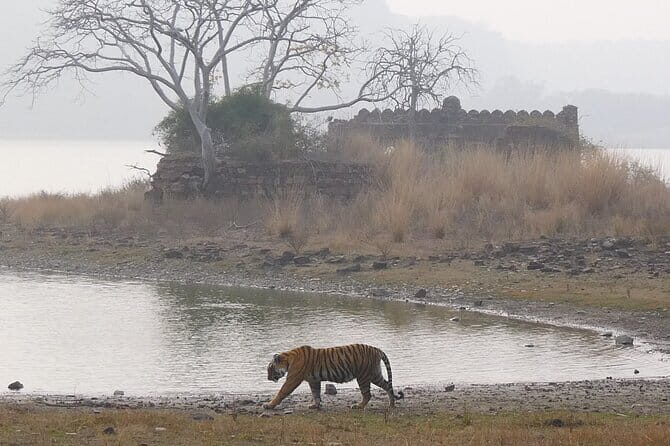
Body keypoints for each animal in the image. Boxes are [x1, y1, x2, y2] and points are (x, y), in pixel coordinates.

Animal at [263, 343, 404, 410]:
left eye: (270, 369)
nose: (268, 378)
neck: (289, 358)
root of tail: (376, 349)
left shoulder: (293, 379)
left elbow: (282, 392)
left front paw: (269, 405)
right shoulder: (314, 380)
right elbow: (316, 393)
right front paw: (316, 406)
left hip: (363, 376)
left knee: (368, 394)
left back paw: (358, 406)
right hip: (374, 374)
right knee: (388, 386)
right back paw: (392, 405)